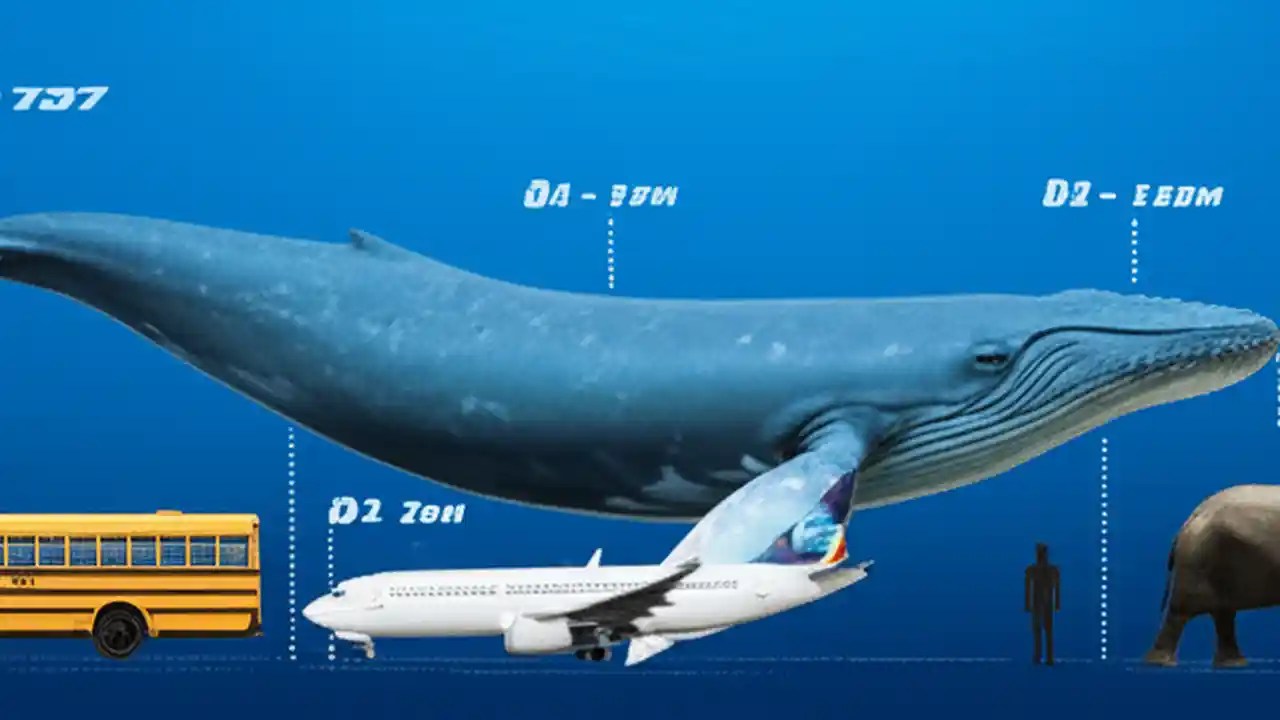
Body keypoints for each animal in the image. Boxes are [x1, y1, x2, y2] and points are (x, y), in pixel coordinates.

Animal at [1144, 484, 1280, 668]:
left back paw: (1233, 664)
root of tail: (1190, 518)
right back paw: (1160, 663)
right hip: (1197, 561)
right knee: (1182, 610)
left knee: (1223, 612)